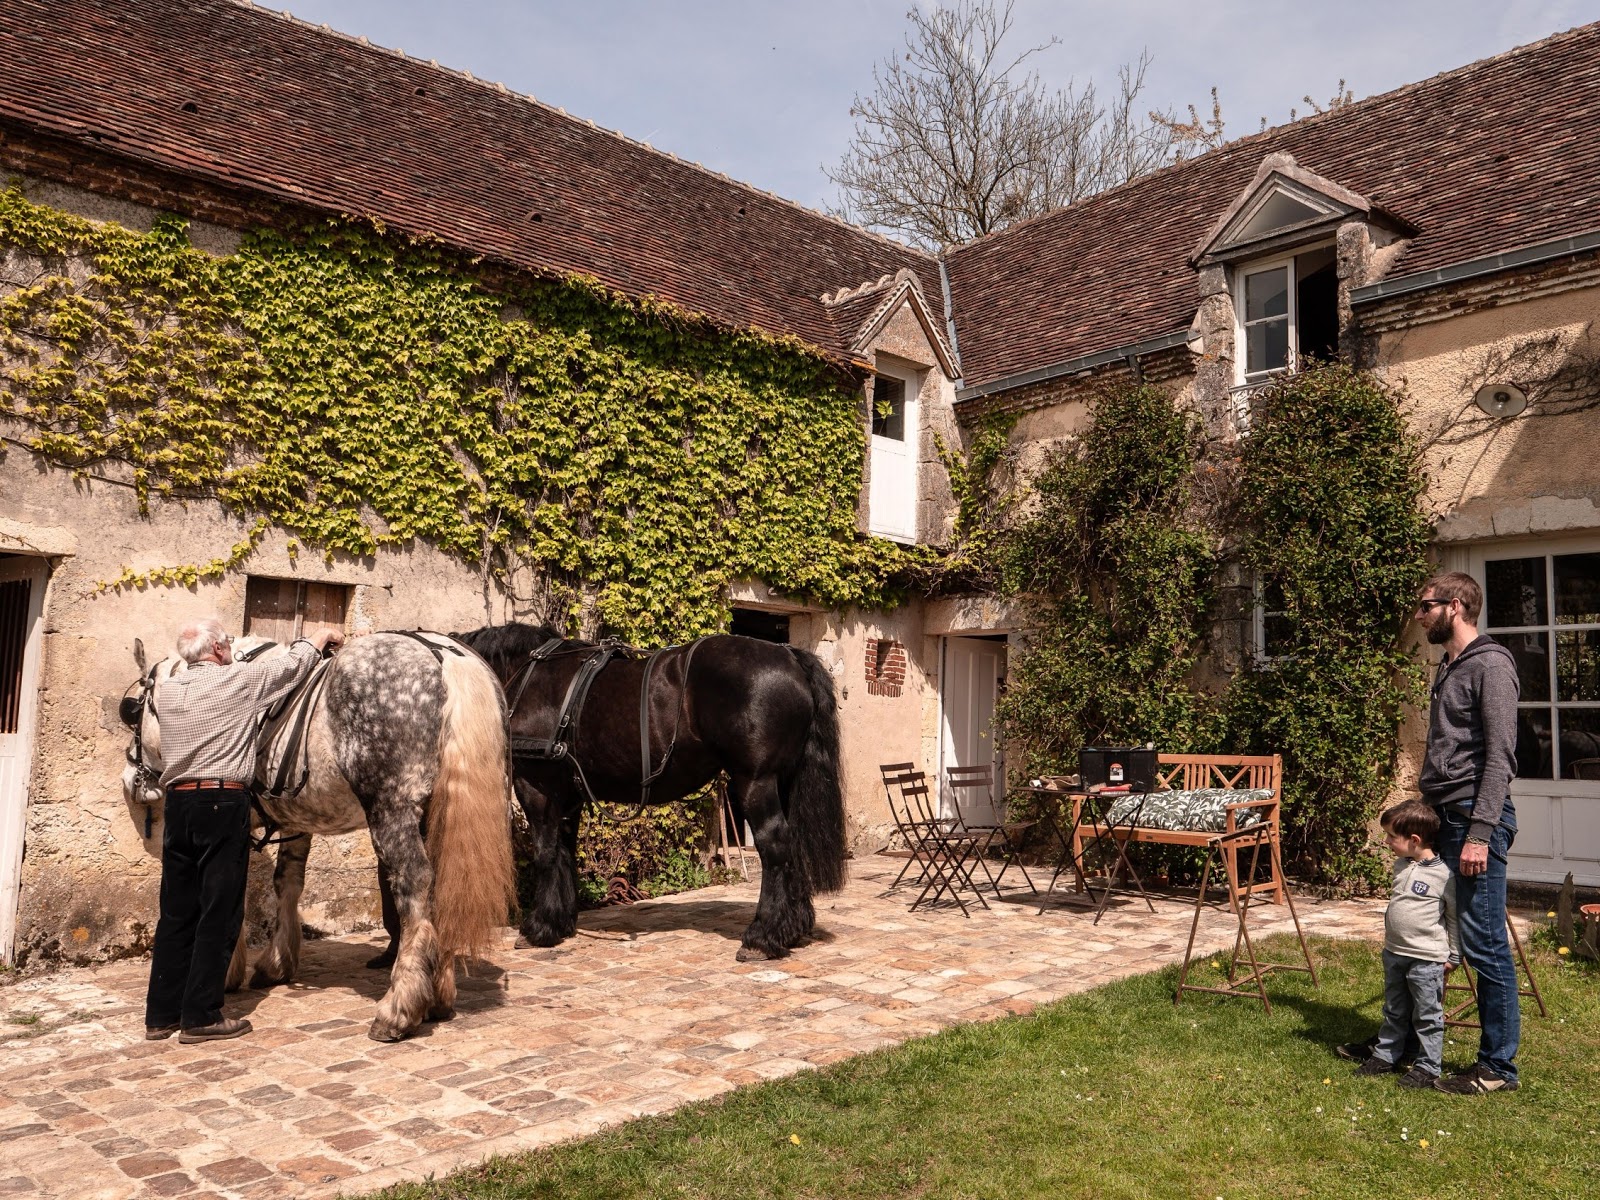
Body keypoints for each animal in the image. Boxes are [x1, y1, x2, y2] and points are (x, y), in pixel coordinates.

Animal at [121, 631, 515, 1041]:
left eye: (133, 711)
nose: (131, 777)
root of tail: (445, 656)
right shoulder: (296, 820)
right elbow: (288, 883)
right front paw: (277, 962)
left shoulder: (239, 825)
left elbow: (233, 895)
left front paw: (230, 970)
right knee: (441, 888)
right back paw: (438, 992)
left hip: (392, 810)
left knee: (414, 885)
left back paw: (399, 1007)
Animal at [456, 622, 847, 961]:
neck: (528, 675)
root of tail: (788, 656)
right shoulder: (568, 794)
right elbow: (564, 852)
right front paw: (560, 921)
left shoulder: (536, 787)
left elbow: (545, 853)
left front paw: (539, 928)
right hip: (784, 781)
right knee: (793, 844)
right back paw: (792, 928)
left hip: (755, 780)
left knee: (775, 847)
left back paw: (763, 936)